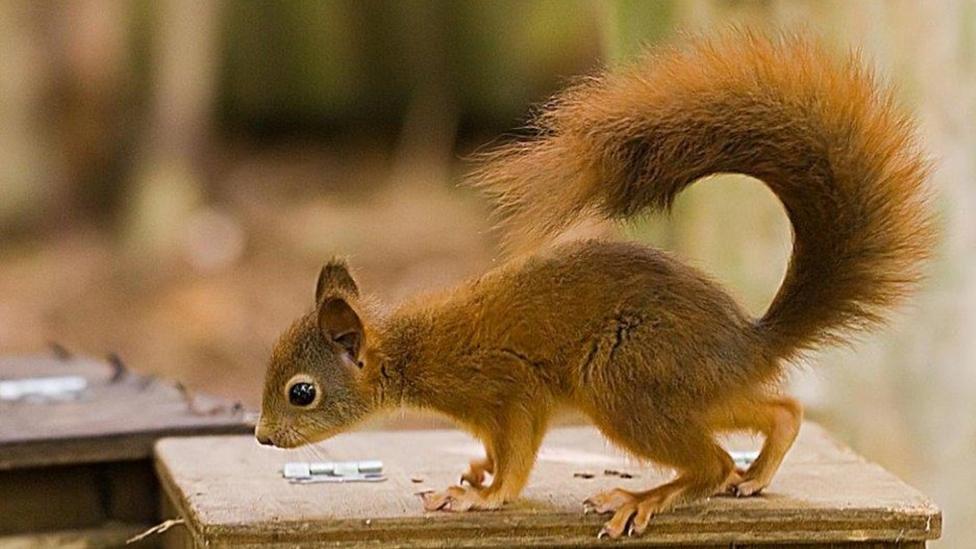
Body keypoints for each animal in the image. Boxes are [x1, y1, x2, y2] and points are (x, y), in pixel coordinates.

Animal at [255, 31, 935, 539]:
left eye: (301, 393)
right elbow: (496, 449)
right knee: (780, 410)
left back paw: (644, 498)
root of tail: (749, 343)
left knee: (711, 461)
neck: (410, 351)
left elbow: (517, 455)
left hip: (624, 378)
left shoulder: (511, 388)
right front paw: (477, 471)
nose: (262, 437)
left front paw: (484, 496)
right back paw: (758, 468)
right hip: (693, 388)